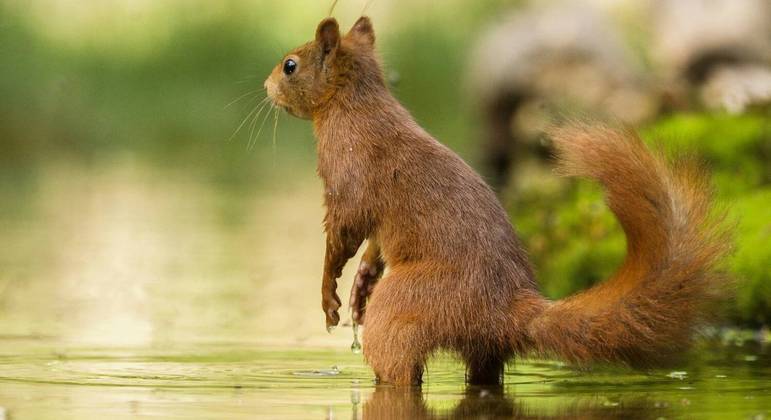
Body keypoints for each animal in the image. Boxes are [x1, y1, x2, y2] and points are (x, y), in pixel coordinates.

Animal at [264, 16, 728, 386]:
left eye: (290, 65)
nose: (266, 86)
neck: (355, 106)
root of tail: (505, 311)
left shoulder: (349, 178)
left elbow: (341, 237)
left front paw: (330, 297)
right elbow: (372, 246)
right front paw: (360, 286)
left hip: (404, 308)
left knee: (402, 371)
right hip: (480, 348)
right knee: (484, 372)